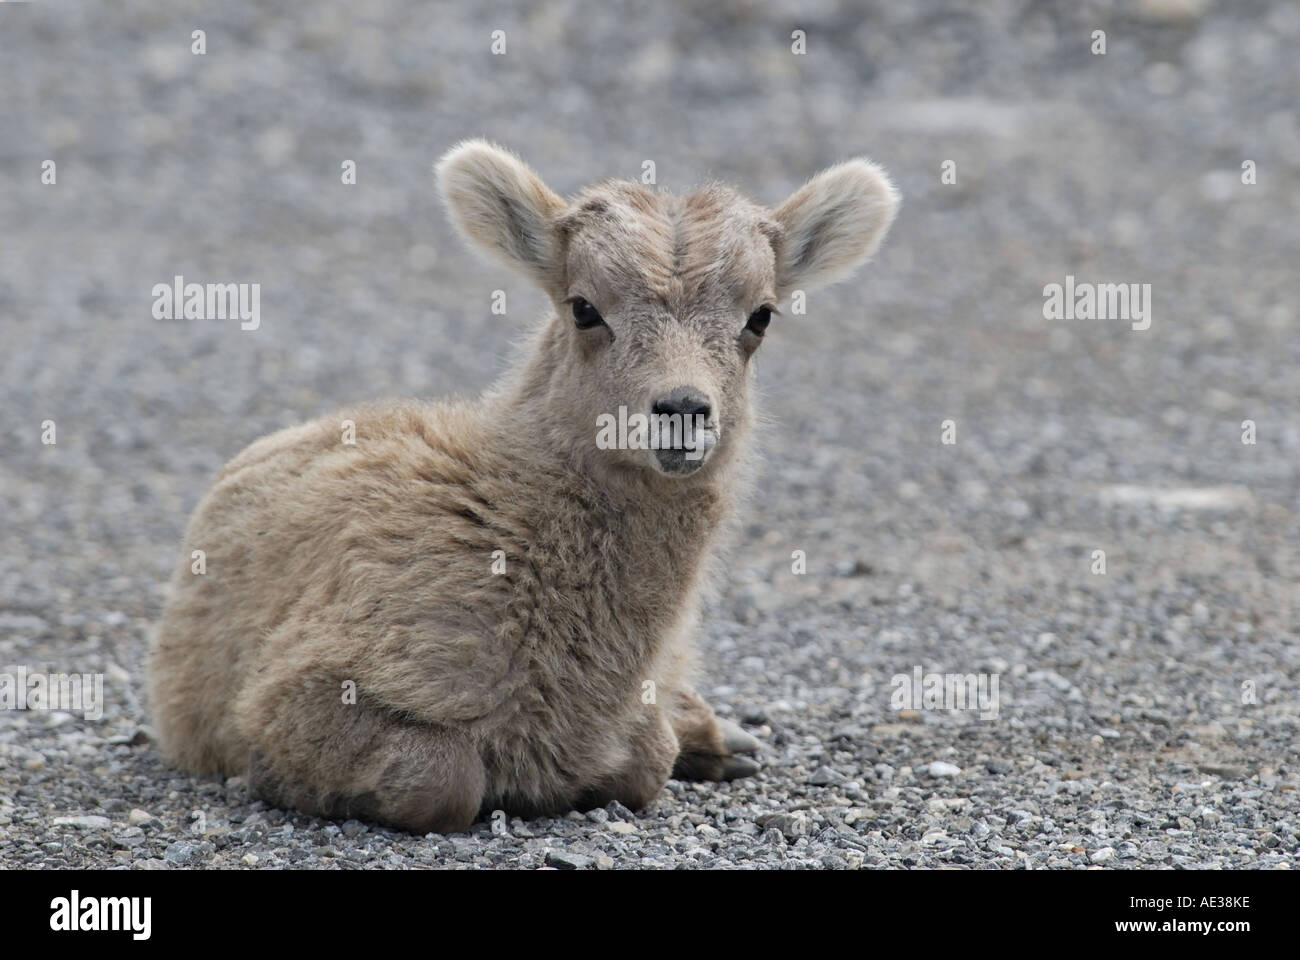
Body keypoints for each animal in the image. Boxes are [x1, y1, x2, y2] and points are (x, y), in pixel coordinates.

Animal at [148, 140, 899, 833]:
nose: (682, 410)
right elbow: (443, 780)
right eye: (584, 307)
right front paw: (276, 780)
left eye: (760, 316)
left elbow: (646, 759)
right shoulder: (303, 694)